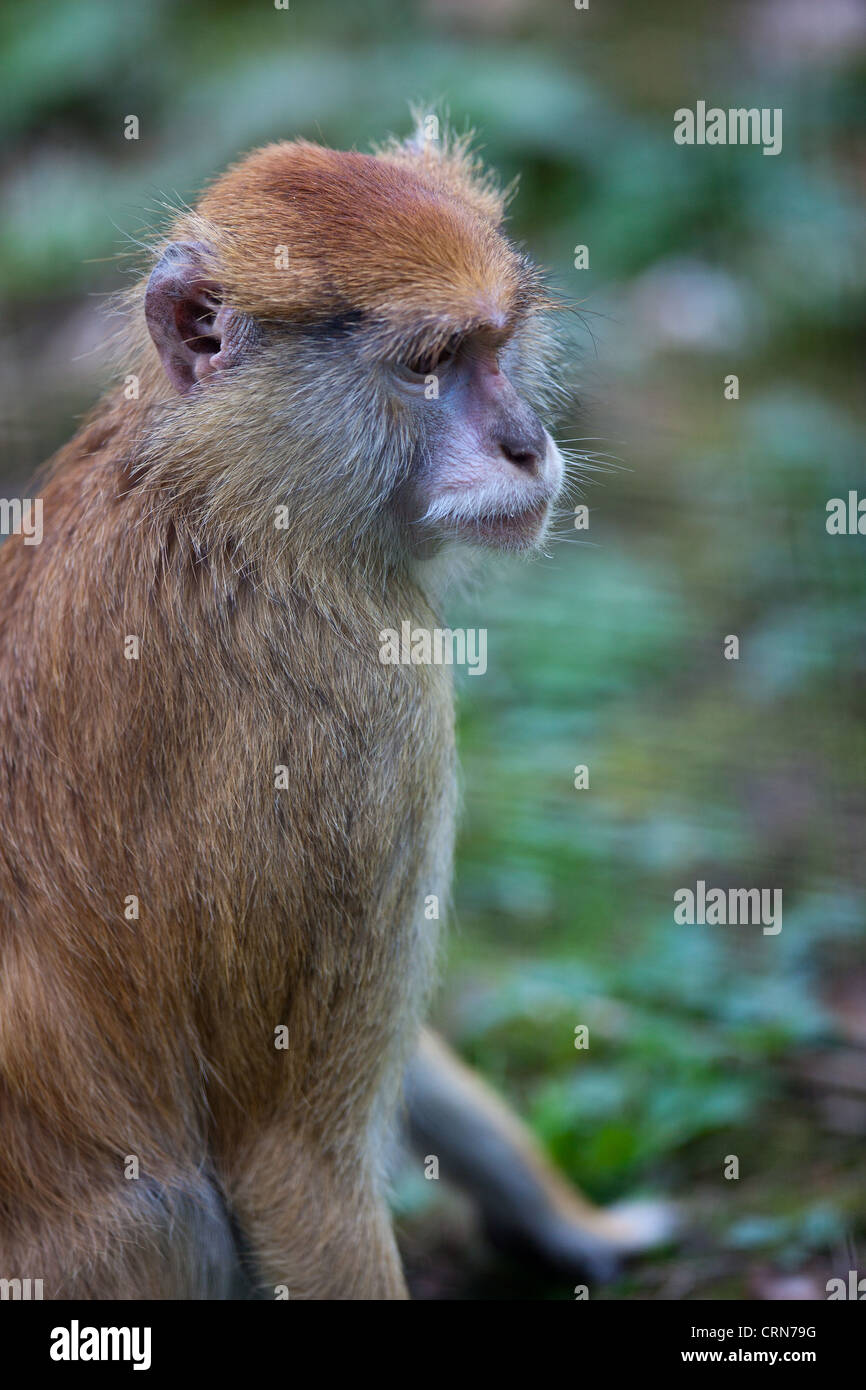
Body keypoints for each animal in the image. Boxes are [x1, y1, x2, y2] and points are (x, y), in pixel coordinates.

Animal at [0, 127, 660, 1301]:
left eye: (494, 345)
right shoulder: (363, 702)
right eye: (426, 363)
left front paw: (568, 1216)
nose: (527, 444)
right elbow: (290, 1158)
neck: (221, 500)